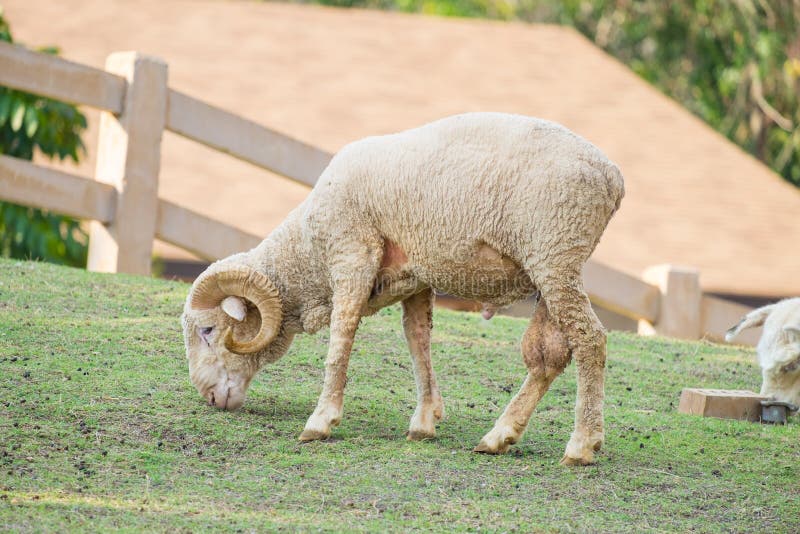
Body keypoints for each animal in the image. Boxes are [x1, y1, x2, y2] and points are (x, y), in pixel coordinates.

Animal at [181, 112, 625, 465]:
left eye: (207, 331)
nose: (208, 397)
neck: (307, 252)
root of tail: (612, 177)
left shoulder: (352, 254)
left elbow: (341, 338)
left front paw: (320, 421)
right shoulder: (416, 279)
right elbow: (418, 341)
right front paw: (424, 421)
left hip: (556, 255)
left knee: (590, 340)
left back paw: (581, 445)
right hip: (552, 267)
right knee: (548, 357)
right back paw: (499, 436)